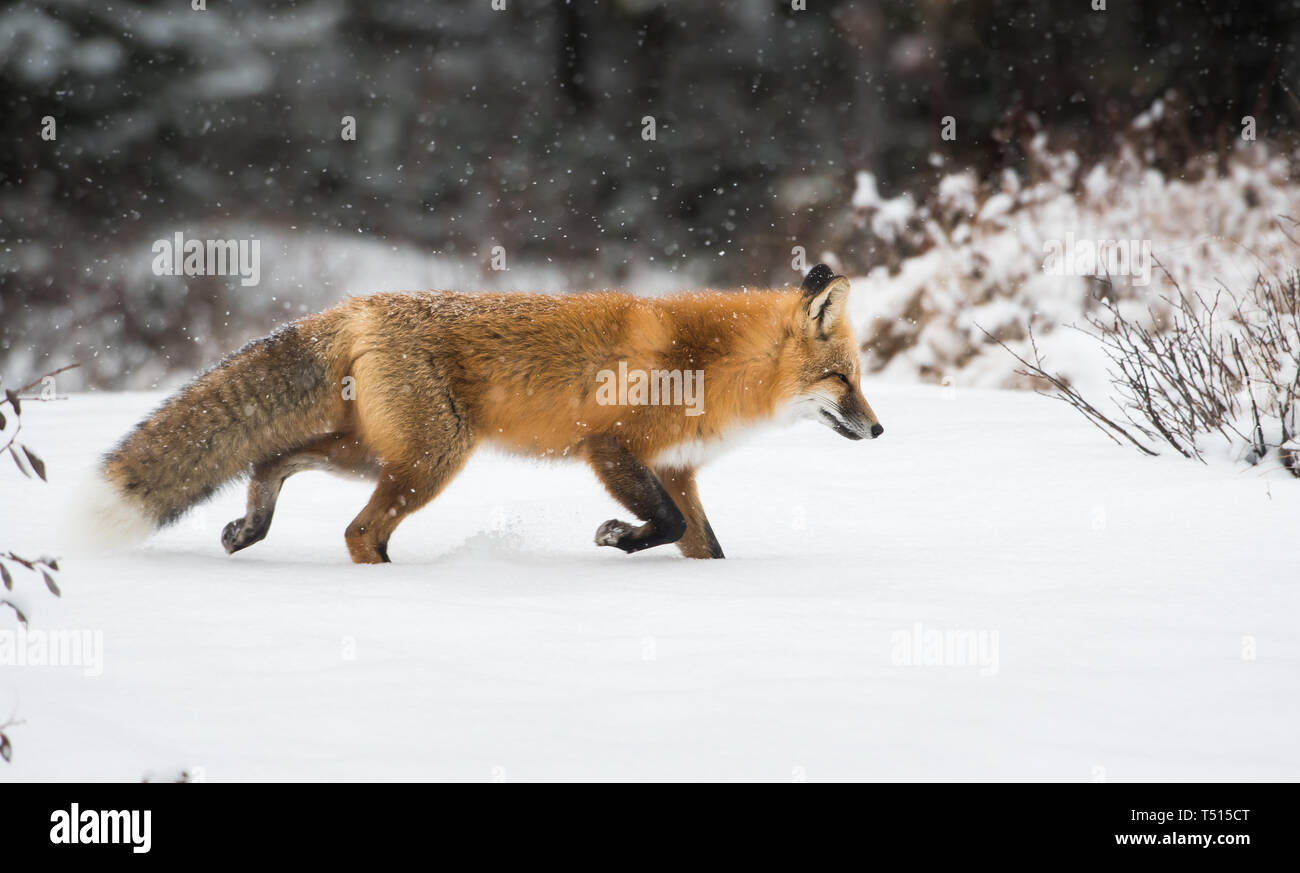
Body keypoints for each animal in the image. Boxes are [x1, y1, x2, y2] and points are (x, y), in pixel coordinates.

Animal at [90, 263, 883, 563]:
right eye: (842, 377)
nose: (880, 430)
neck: (709, 363)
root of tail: (360, 304)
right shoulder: (611, 449)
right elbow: (664, 525)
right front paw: (617, 539)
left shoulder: (677, 470)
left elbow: (701, 543)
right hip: (430, 461)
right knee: (357, 530)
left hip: (377, 453)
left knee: (270, 459)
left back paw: (250, 526)